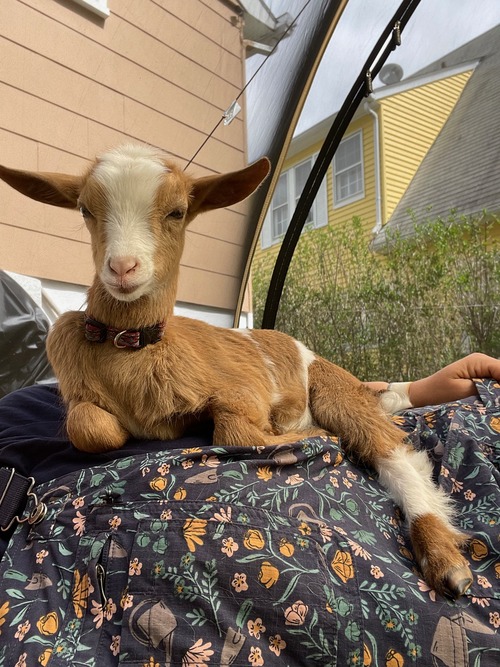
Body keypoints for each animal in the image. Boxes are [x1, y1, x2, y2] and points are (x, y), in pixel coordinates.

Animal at [0, 144, 472, 598]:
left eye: (177, 212)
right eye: (85, 209)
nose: (123, 268)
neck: (134, 350)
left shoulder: (241, 389)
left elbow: (235, 431)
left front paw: (299, 434)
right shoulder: (85, 395)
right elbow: (88, 425)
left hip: (331, 389)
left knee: (392, 450)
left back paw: (444, 559)